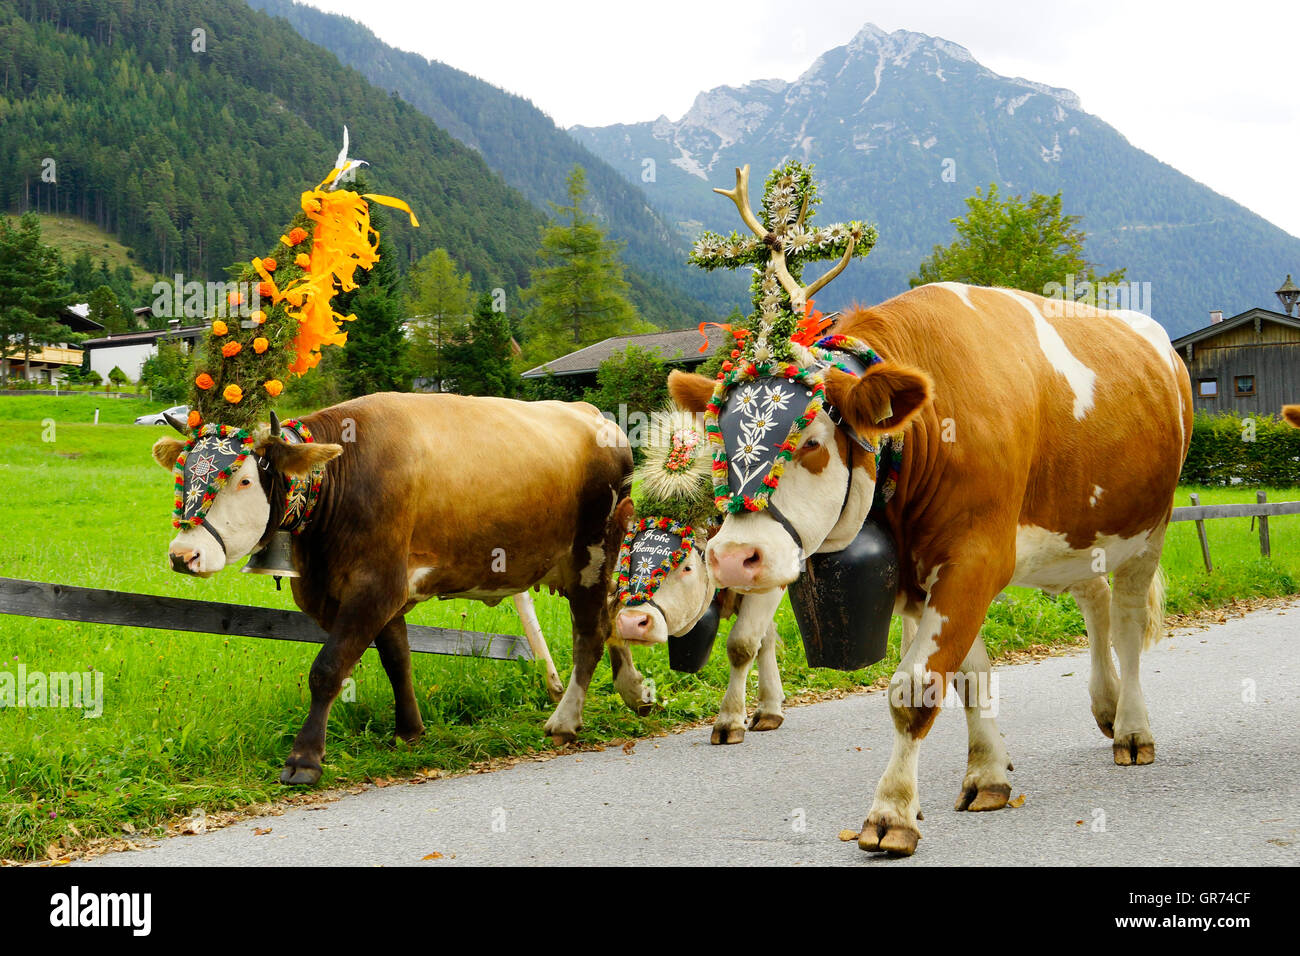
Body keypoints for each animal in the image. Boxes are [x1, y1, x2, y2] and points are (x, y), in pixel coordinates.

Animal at [151, 392, 644, 783]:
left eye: (243, 479)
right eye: (182, 473)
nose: (183, 554)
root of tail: (596, 417)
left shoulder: (376, 584)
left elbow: (328, 669)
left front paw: (304, 759)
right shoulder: (366, 593)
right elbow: (397, 659)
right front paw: (409, 731)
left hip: (594, 551)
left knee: (590, 634)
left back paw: (566, 720)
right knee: (613, 615)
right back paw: (634, 690)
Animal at [669, 281, 1193, 856]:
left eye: (809, 442)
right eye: (718, 440)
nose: (732, 557)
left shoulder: (973, 561)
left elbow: (915, 692)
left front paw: (891, 813)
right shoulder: (921, 580)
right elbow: (971, 677)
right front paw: (988, 774)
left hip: (1150, 529)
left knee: (1127, 625)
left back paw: (1132, 729)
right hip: (1080, 533)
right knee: (1094, 599)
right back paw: (1107, 706)